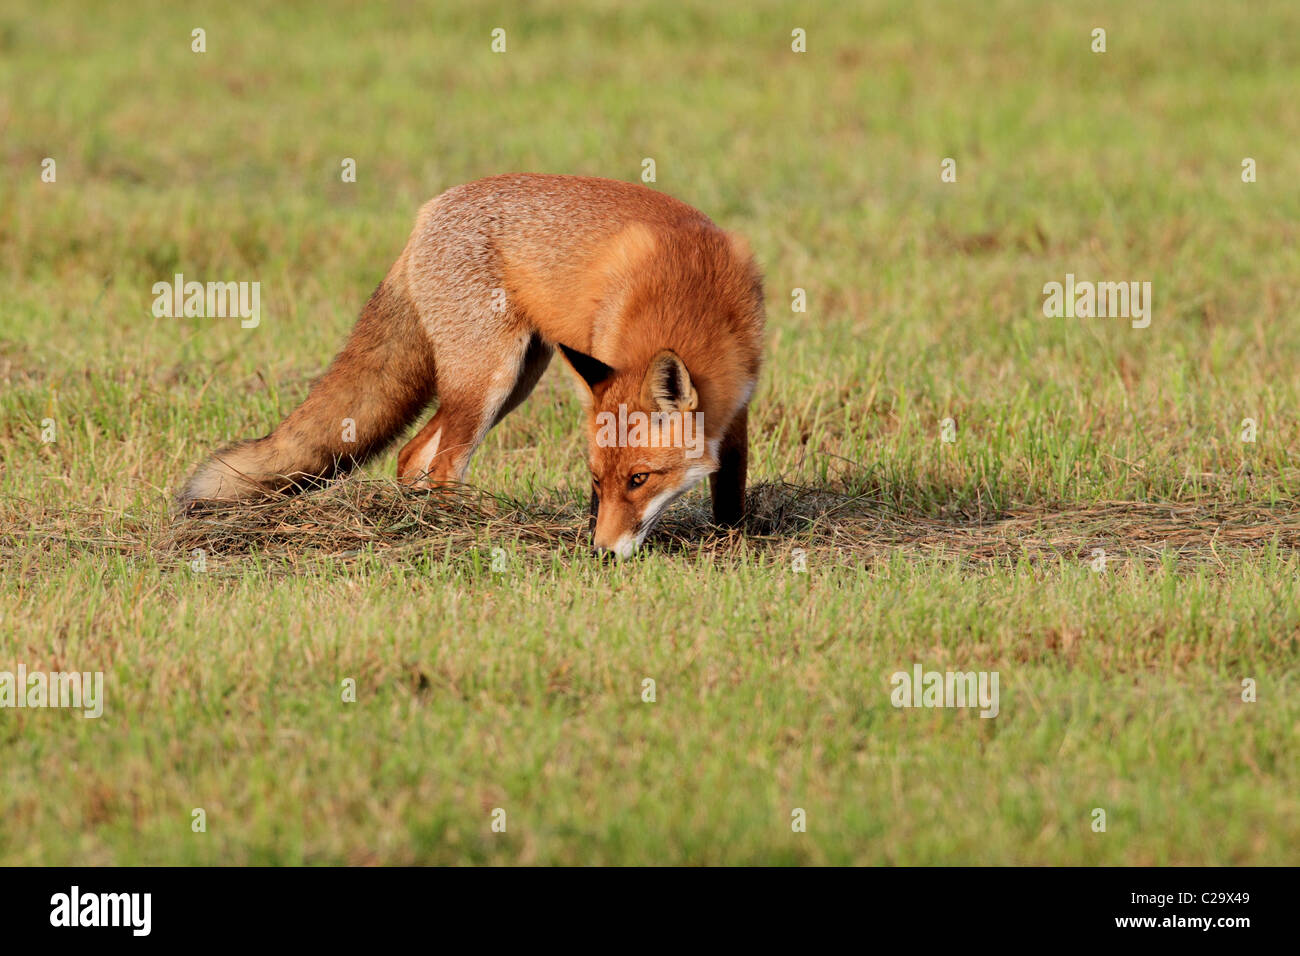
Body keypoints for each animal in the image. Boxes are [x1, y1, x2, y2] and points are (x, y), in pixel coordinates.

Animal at [178, 173, 765, 556]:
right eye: (596, 481)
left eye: (640, 479)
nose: (601, 554)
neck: (691, 294)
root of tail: (429, 212)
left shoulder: (738, 403)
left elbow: (731, 486)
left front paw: (732, 543)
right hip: (489, 381)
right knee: (442, 465)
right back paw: (457, 530)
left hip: (515, 379)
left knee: (410, 454)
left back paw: (416, 521)